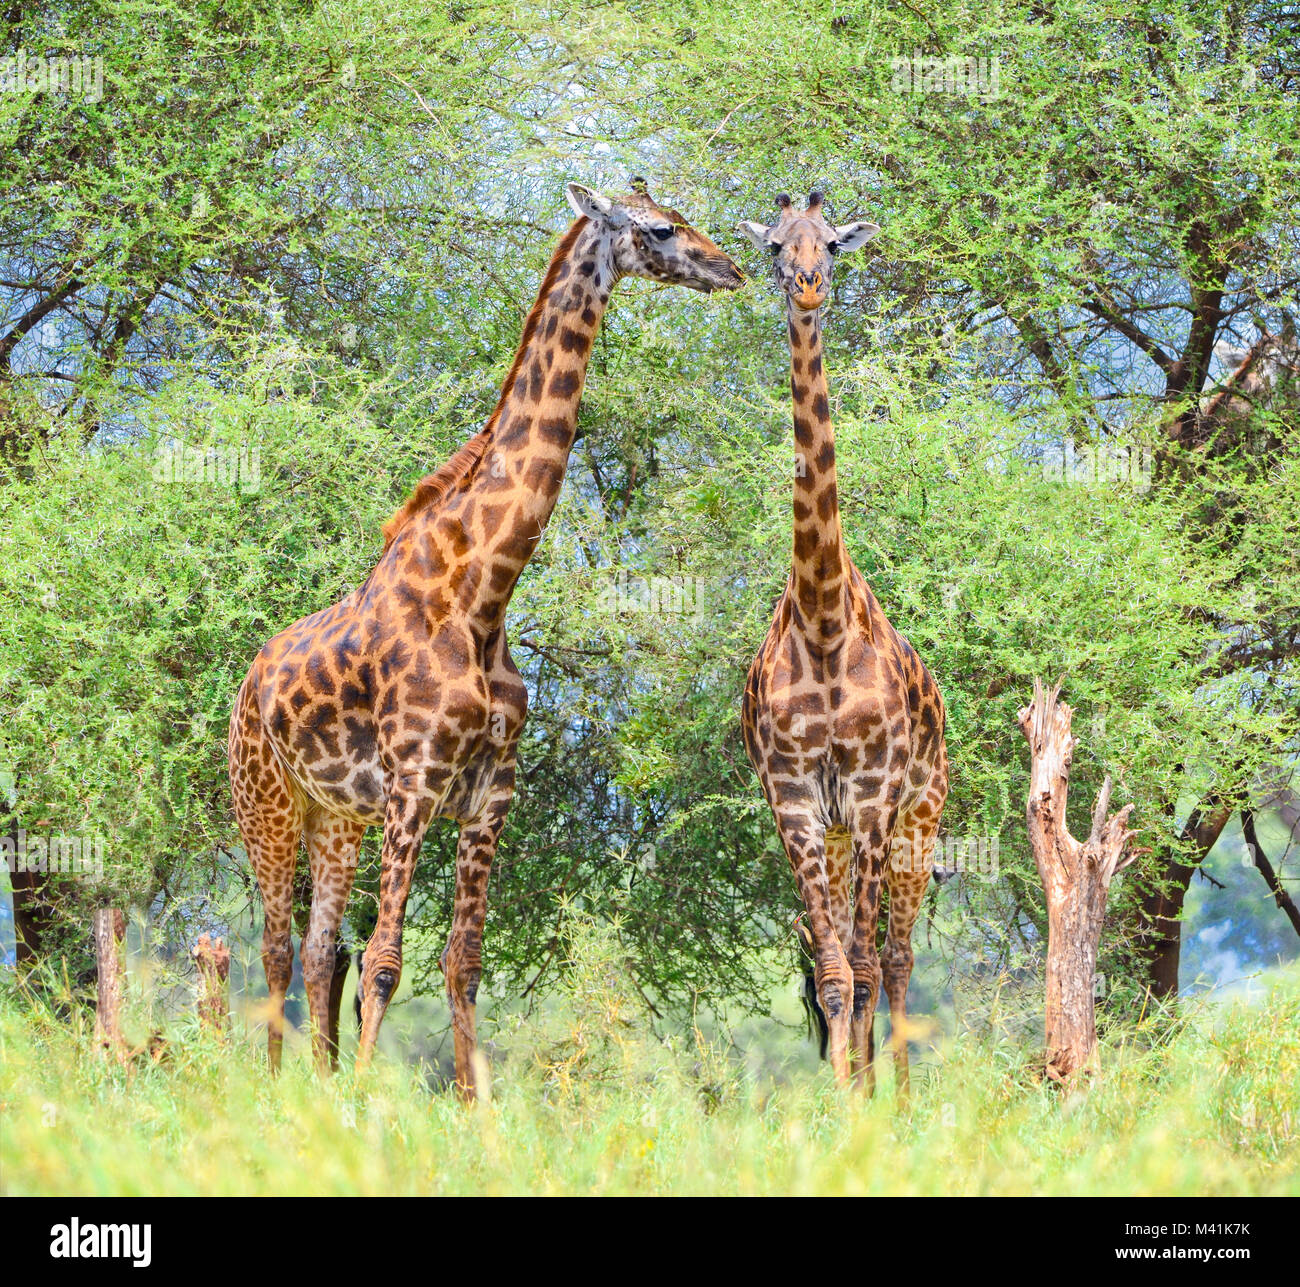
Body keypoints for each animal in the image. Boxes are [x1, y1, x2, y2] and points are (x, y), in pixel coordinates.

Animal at [229, 179, 743, 1096]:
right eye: (657, 229)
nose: (731, 268)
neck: (485, 589)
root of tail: (245, 686)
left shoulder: (491, 790)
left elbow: (461, 961)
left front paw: (475, 1107)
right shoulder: (414, 780)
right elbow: (388, 960)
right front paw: (368, 1100)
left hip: (336, 817)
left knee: (320, 949)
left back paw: (317, 1088)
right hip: (266, 802)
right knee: (278, 948)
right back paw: (280, 1091)